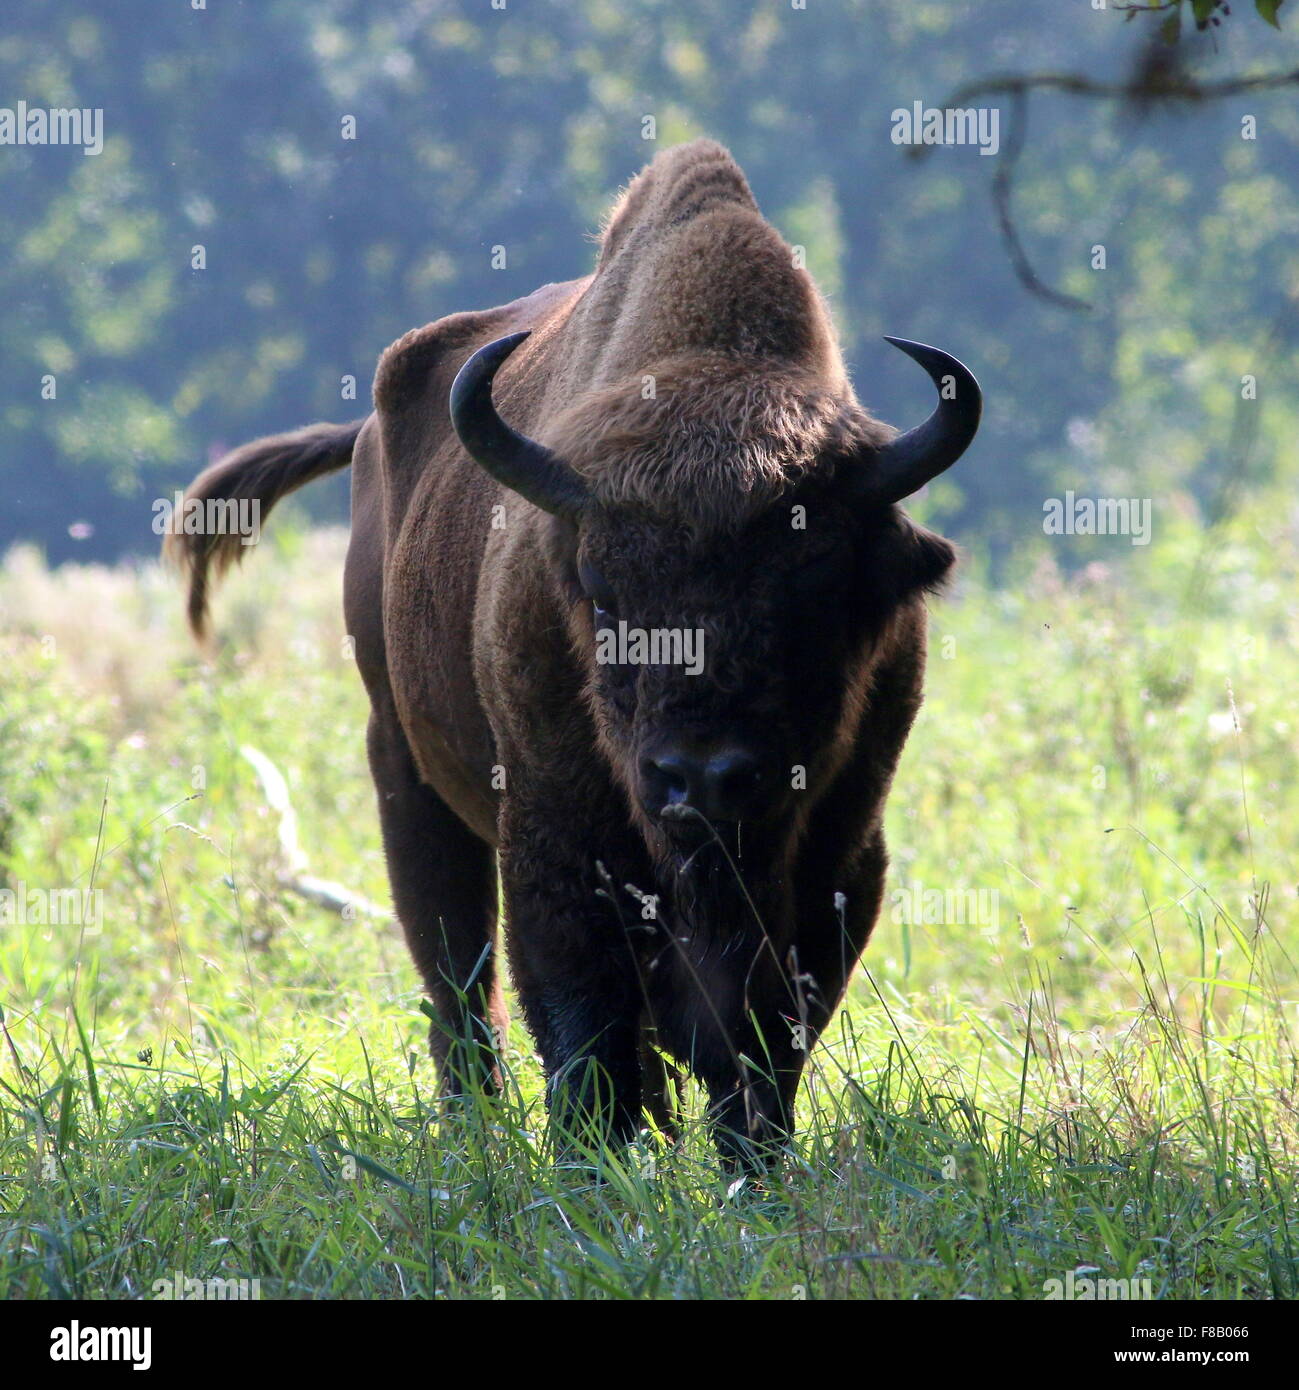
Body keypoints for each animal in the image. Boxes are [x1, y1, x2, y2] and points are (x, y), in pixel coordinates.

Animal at [167, 139, 980, 1167]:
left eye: (818, 584)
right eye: (600, 587)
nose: (701, 779)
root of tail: (371, 432)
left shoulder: (838, 853)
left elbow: (767, 1042)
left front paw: (755, 1170)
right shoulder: (555, 837)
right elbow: (579, 1022)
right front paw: (594, 1170)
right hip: (404, 772)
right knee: (458, 985)